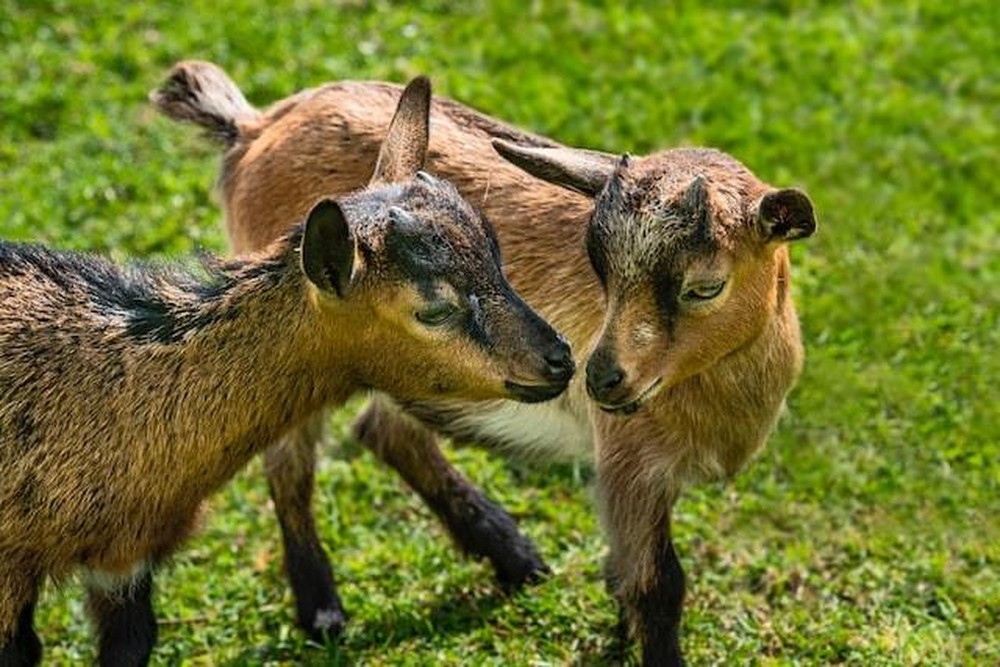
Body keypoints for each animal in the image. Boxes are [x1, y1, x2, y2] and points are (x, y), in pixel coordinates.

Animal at [153, 61, 816, 665]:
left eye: (705, 286)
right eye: (599, 267)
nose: (600, 377)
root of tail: (253, 127)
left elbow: (628, 574)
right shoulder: (630, 460)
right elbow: (658, 584)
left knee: (386, 428)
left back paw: (513, 555)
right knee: (290, 463)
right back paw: (323, 610)